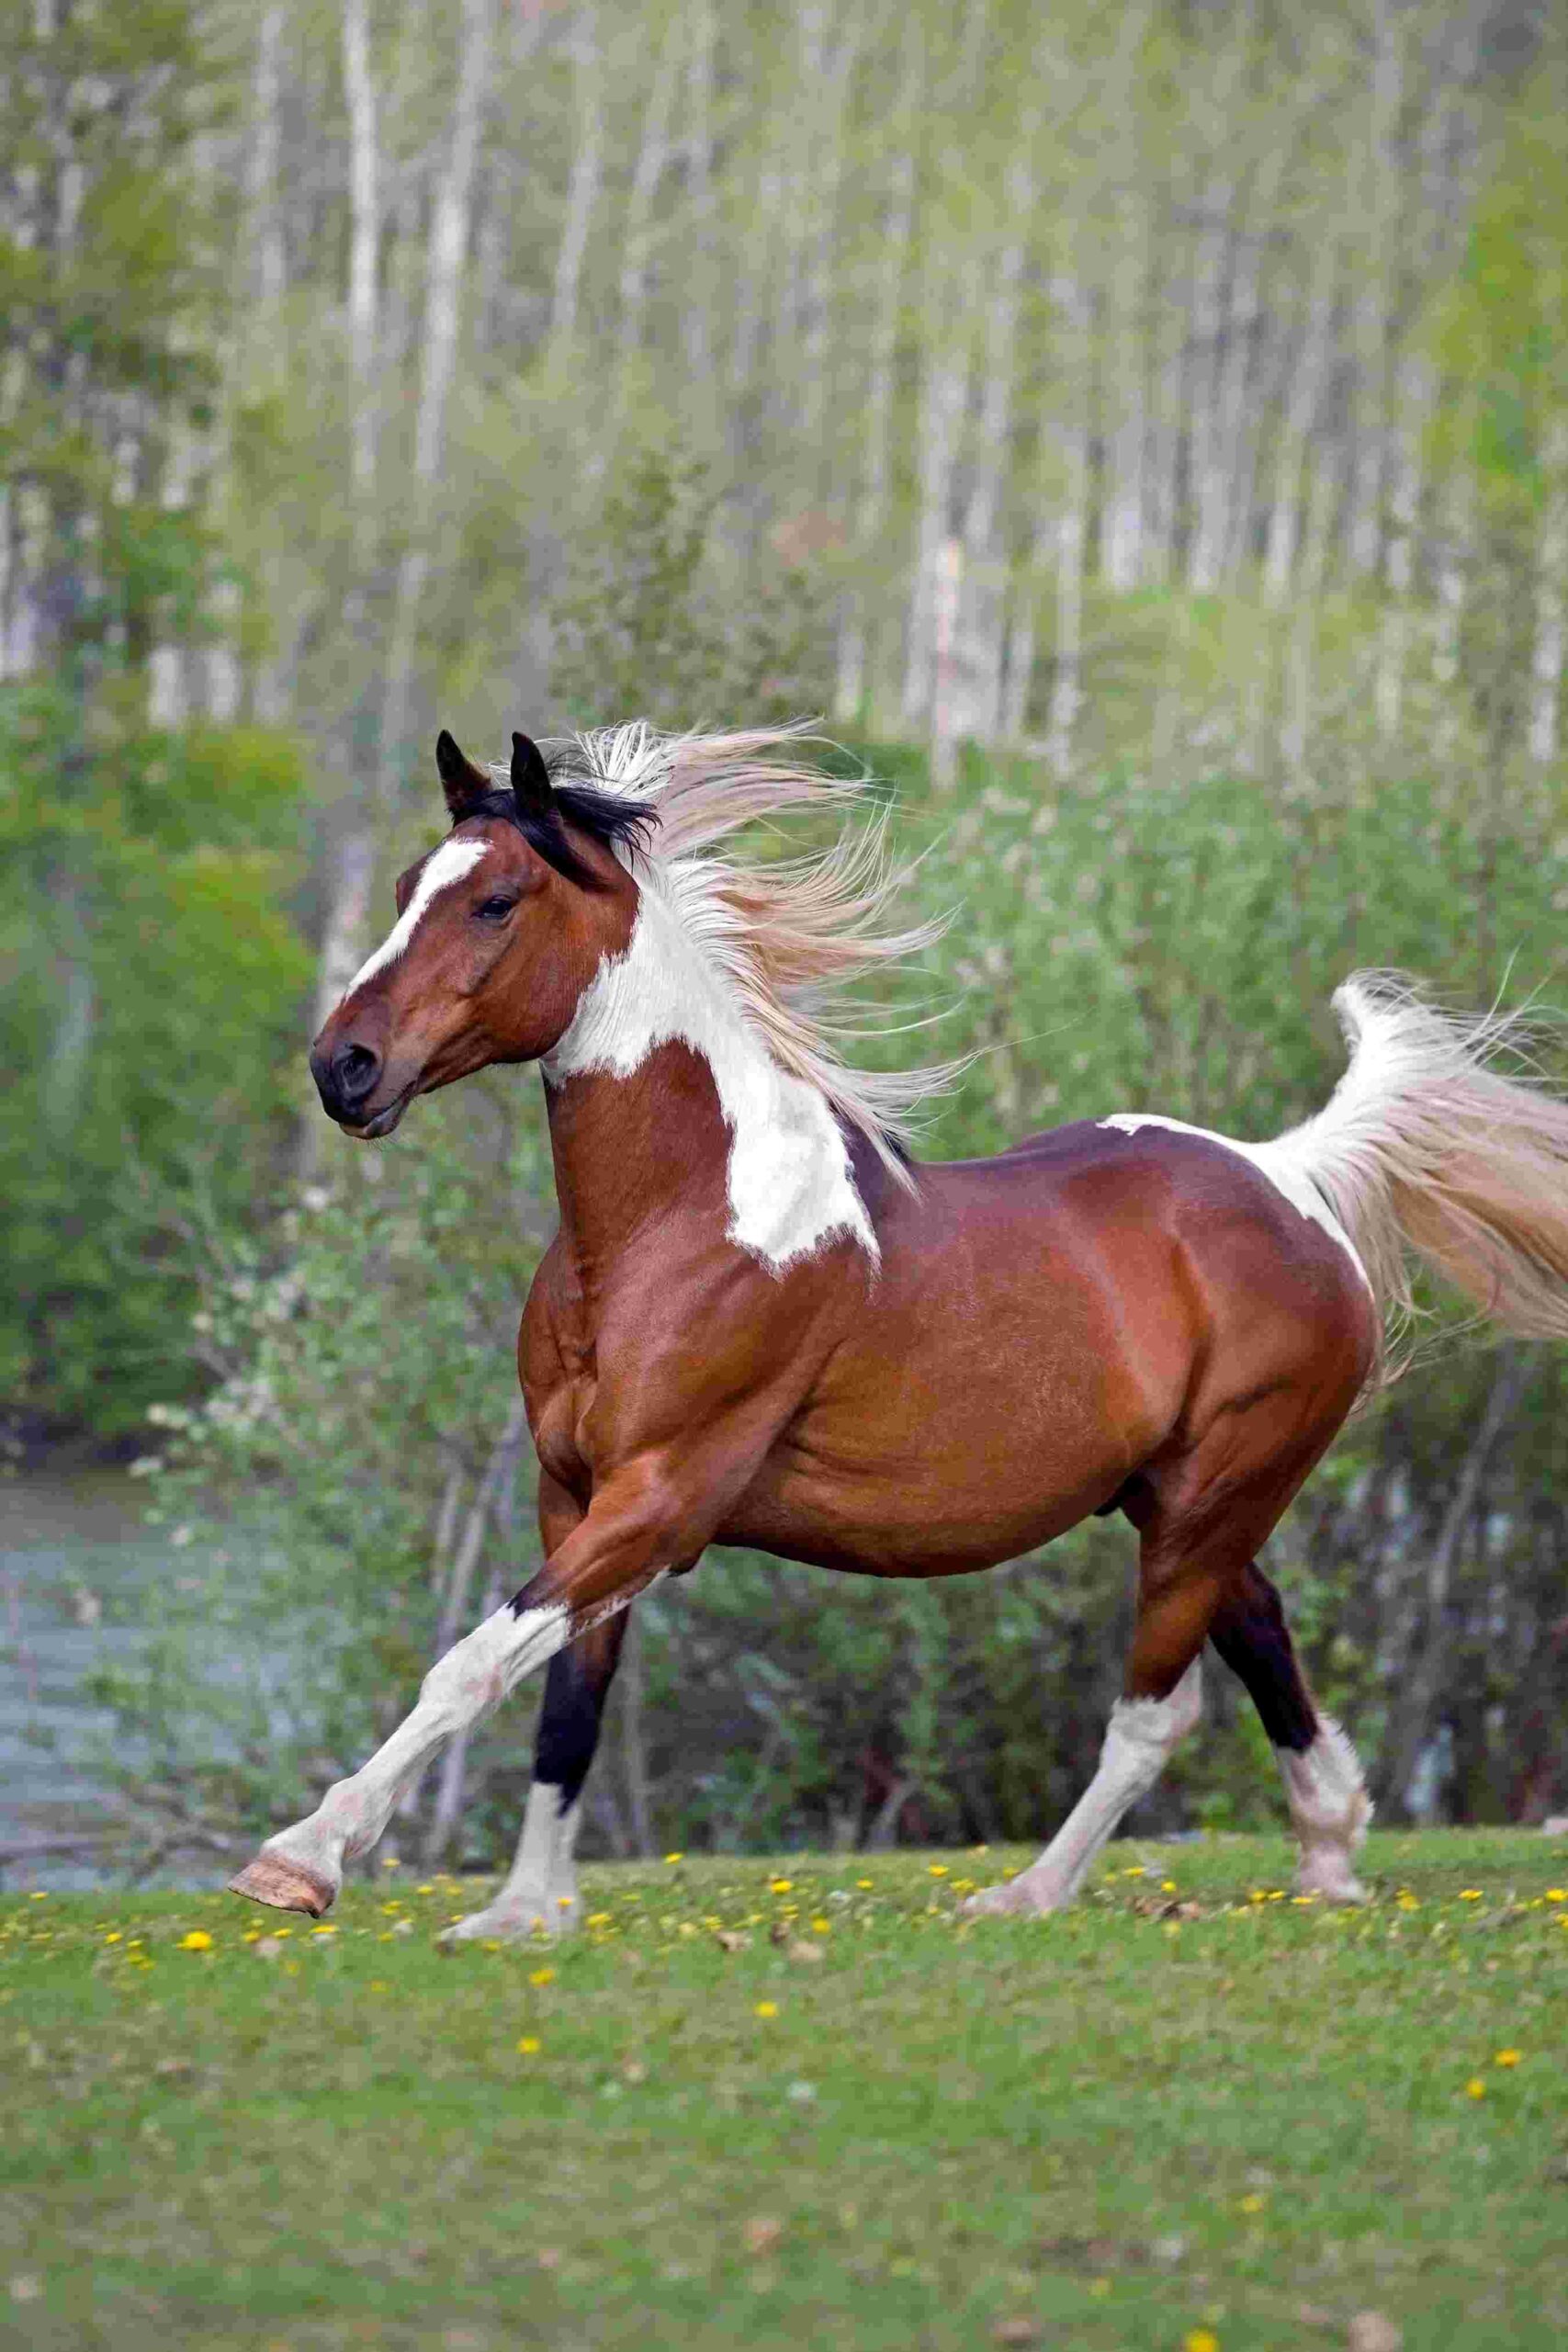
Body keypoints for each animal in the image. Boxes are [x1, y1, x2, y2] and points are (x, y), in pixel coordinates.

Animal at [228, 723, 1568, 1931]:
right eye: (406, 888)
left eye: (496, 900)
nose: (343, 1069)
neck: (680, 1222)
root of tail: (1292, 1179)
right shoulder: (576, 1500)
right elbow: (565, 1701)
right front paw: (520, 1913)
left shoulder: (662, 1500)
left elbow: (472, 1662)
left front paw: (303, 1858)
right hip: (1179, 1500)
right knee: (1264, 1637)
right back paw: (1329, 1855)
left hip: (1212, 1498)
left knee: (1156, 1715)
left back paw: (1025, 1893)